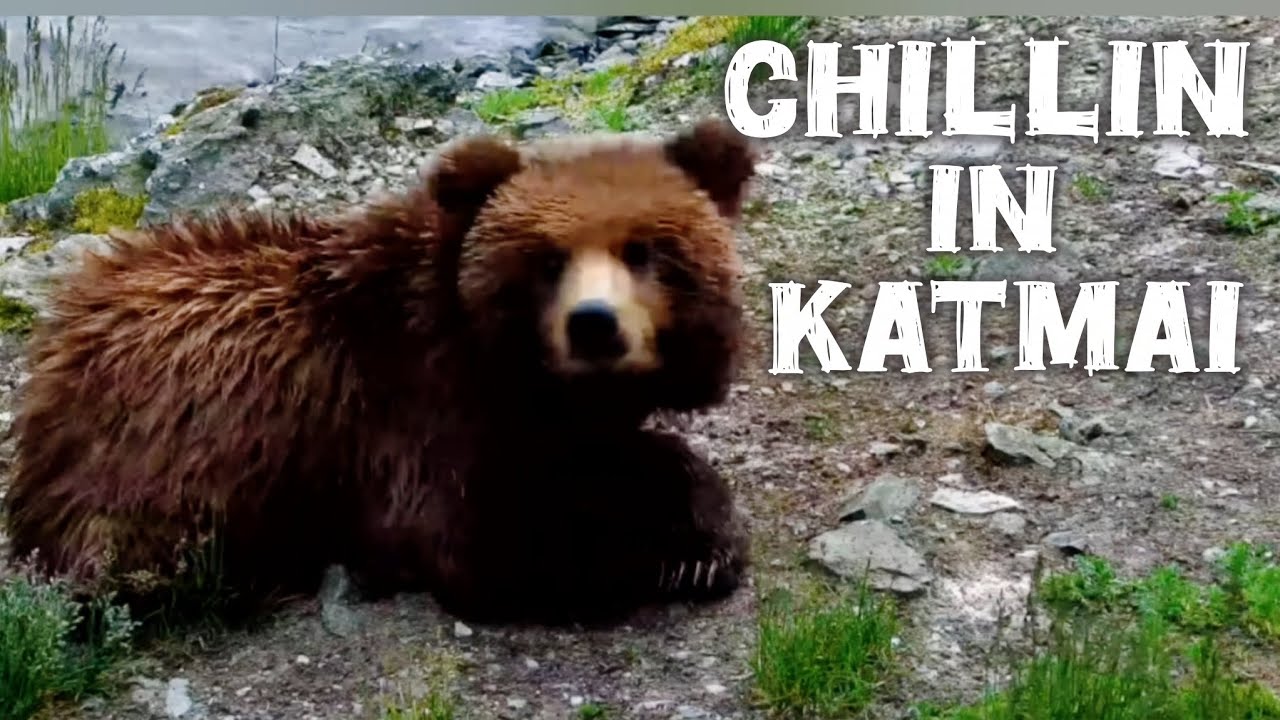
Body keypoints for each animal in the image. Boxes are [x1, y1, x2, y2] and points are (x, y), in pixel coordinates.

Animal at [2, 117, 758, 626]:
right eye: (547, 259)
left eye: (645, 250)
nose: (594, 324)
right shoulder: (410, 408)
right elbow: (485, 537)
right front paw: (648, 553)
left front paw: (699, 532)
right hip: (159, 454)